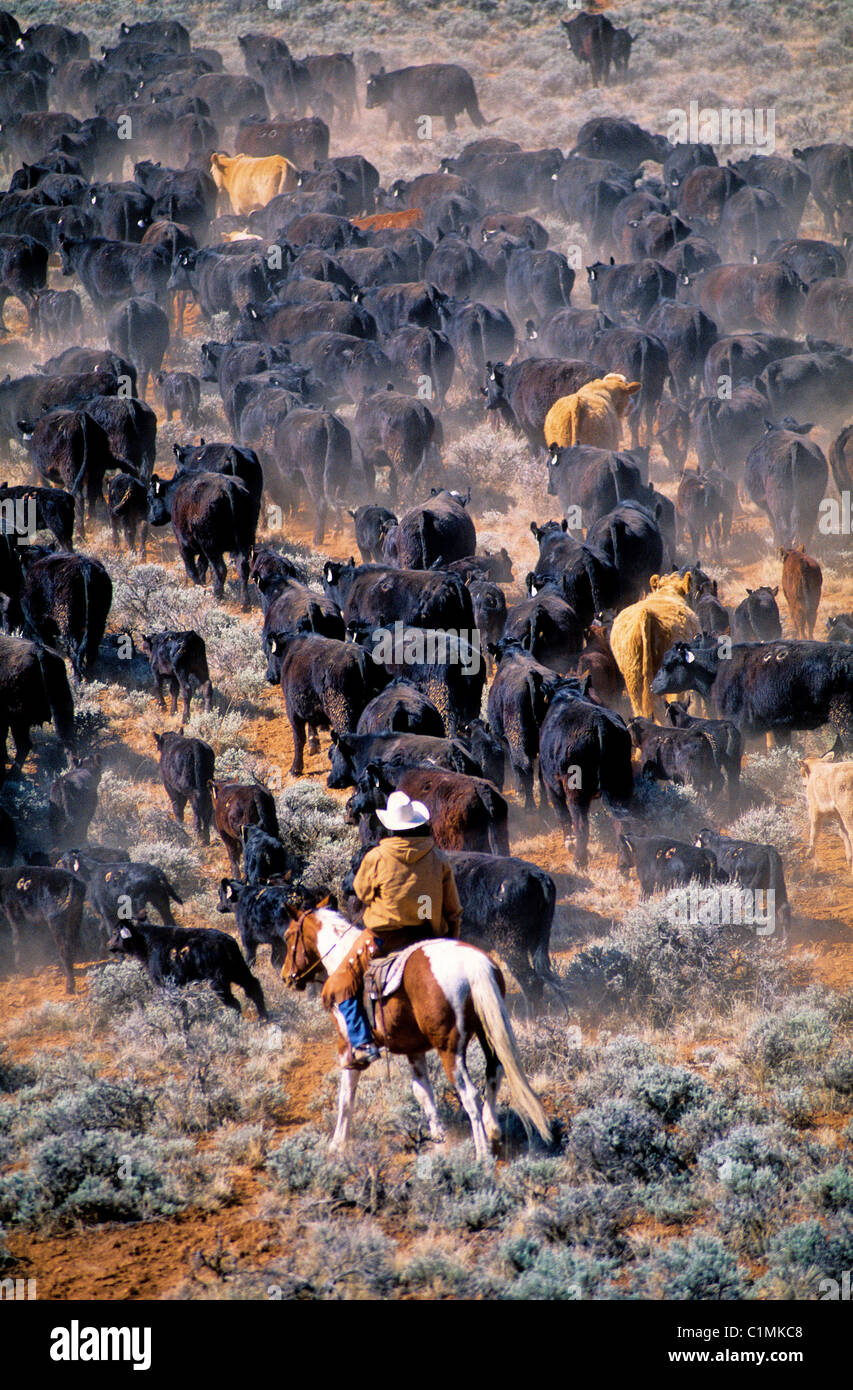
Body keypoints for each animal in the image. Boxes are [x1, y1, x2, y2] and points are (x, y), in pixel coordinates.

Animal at [109, 917, 267, 1020]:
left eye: (116, 932)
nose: (109, 945)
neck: (146, 943)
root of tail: (226, 942)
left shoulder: (167, 985)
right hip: (238, 969)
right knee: (253, 986)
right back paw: (264, 1017)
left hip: (218, 980)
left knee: (234, 1002)